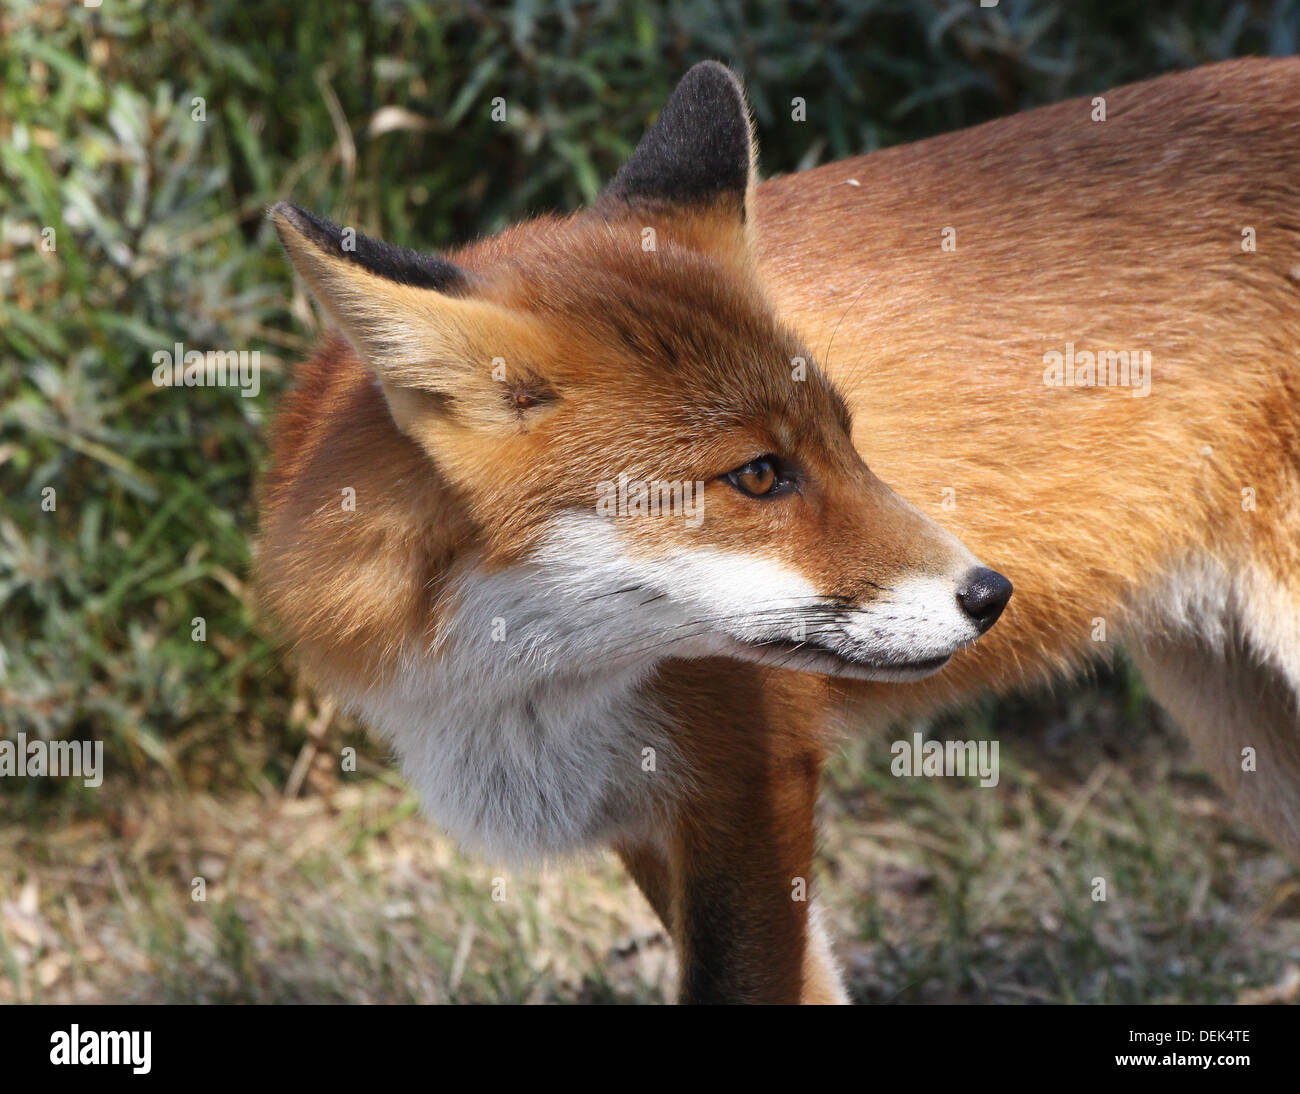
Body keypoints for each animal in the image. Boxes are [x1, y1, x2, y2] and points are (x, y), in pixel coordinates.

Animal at [260, 57, 1300, 1004]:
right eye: (759, 474)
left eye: (848, 438)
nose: (990, 594)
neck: (512, 688)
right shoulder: (658, 822)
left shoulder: (751, 787)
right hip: (1236, 717)